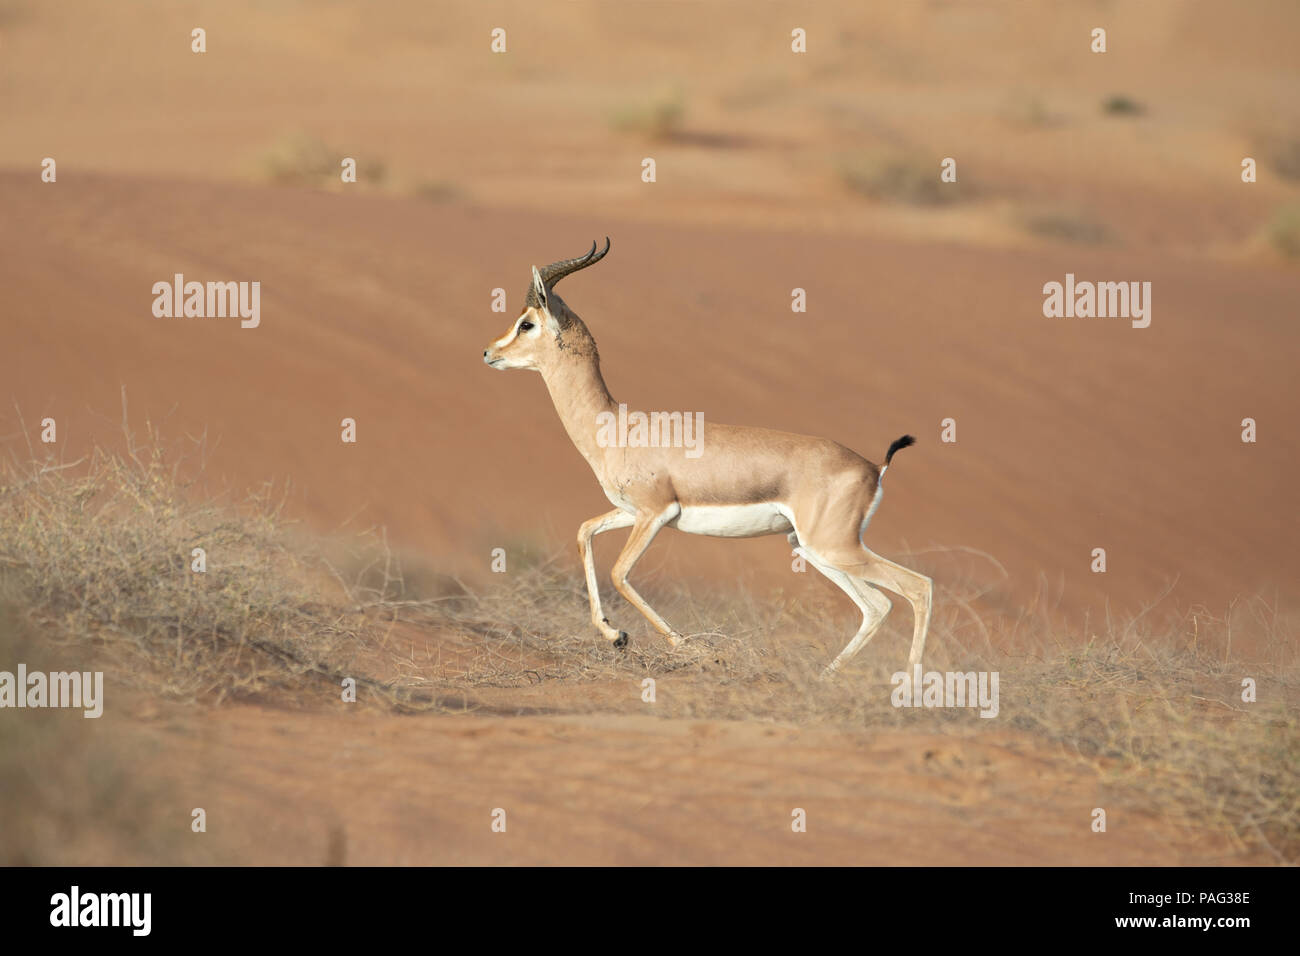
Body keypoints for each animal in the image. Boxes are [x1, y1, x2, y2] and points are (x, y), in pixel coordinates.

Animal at [483, 239, 931, 677]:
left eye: (527, 323)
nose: (488, 352)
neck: (616, 426)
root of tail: (873, 468)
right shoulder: (629, 511)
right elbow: (584, 532)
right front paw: (615, 634)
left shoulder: (654, 514)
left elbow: (620, 573)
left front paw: (682, 646)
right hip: (812, 547)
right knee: (878, 605)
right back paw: (826, 677)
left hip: (833, 547)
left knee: (917, 588)